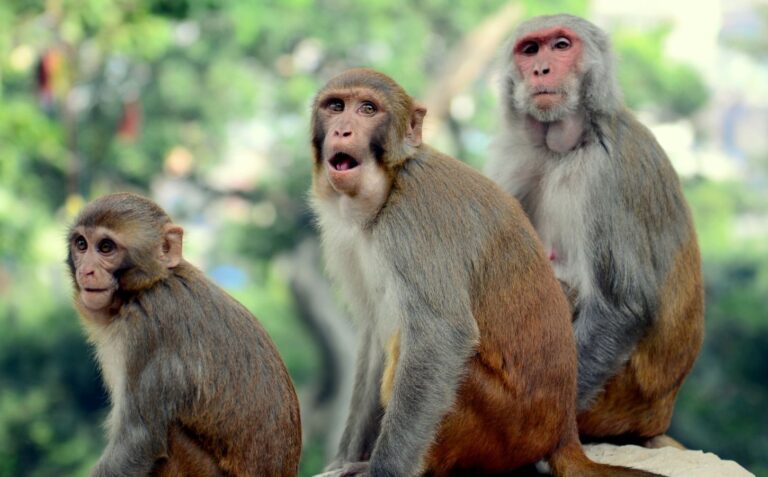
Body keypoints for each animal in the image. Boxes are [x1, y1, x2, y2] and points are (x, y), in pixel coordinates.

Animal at [67, 192, 301, 477]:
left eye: (105, 247)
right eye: (81, 244)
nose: (86, 270)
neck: (148, 286)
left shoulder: (148, 329)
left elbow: (137, 444)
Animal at [309, 68, 662, 477]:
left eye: (367, 109)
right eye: (336, 106)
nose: (342, 130)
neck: (388, 187)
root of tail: (563, 431)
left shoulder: (415, 216)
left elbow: (439, 336)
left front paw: (383, 470)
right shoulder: (346, 240)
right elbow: (374, 337)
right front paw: (345, 457)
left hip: (502, 426)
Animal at [486, 14, 705, 448]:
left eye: (561, 45)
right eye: (530, 50)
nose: (541, 70)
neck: (566, 148)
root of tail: (659, 416)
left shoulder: (606, 174)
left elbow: (620, 307)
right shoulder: (517, 158)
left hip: (618, 400)